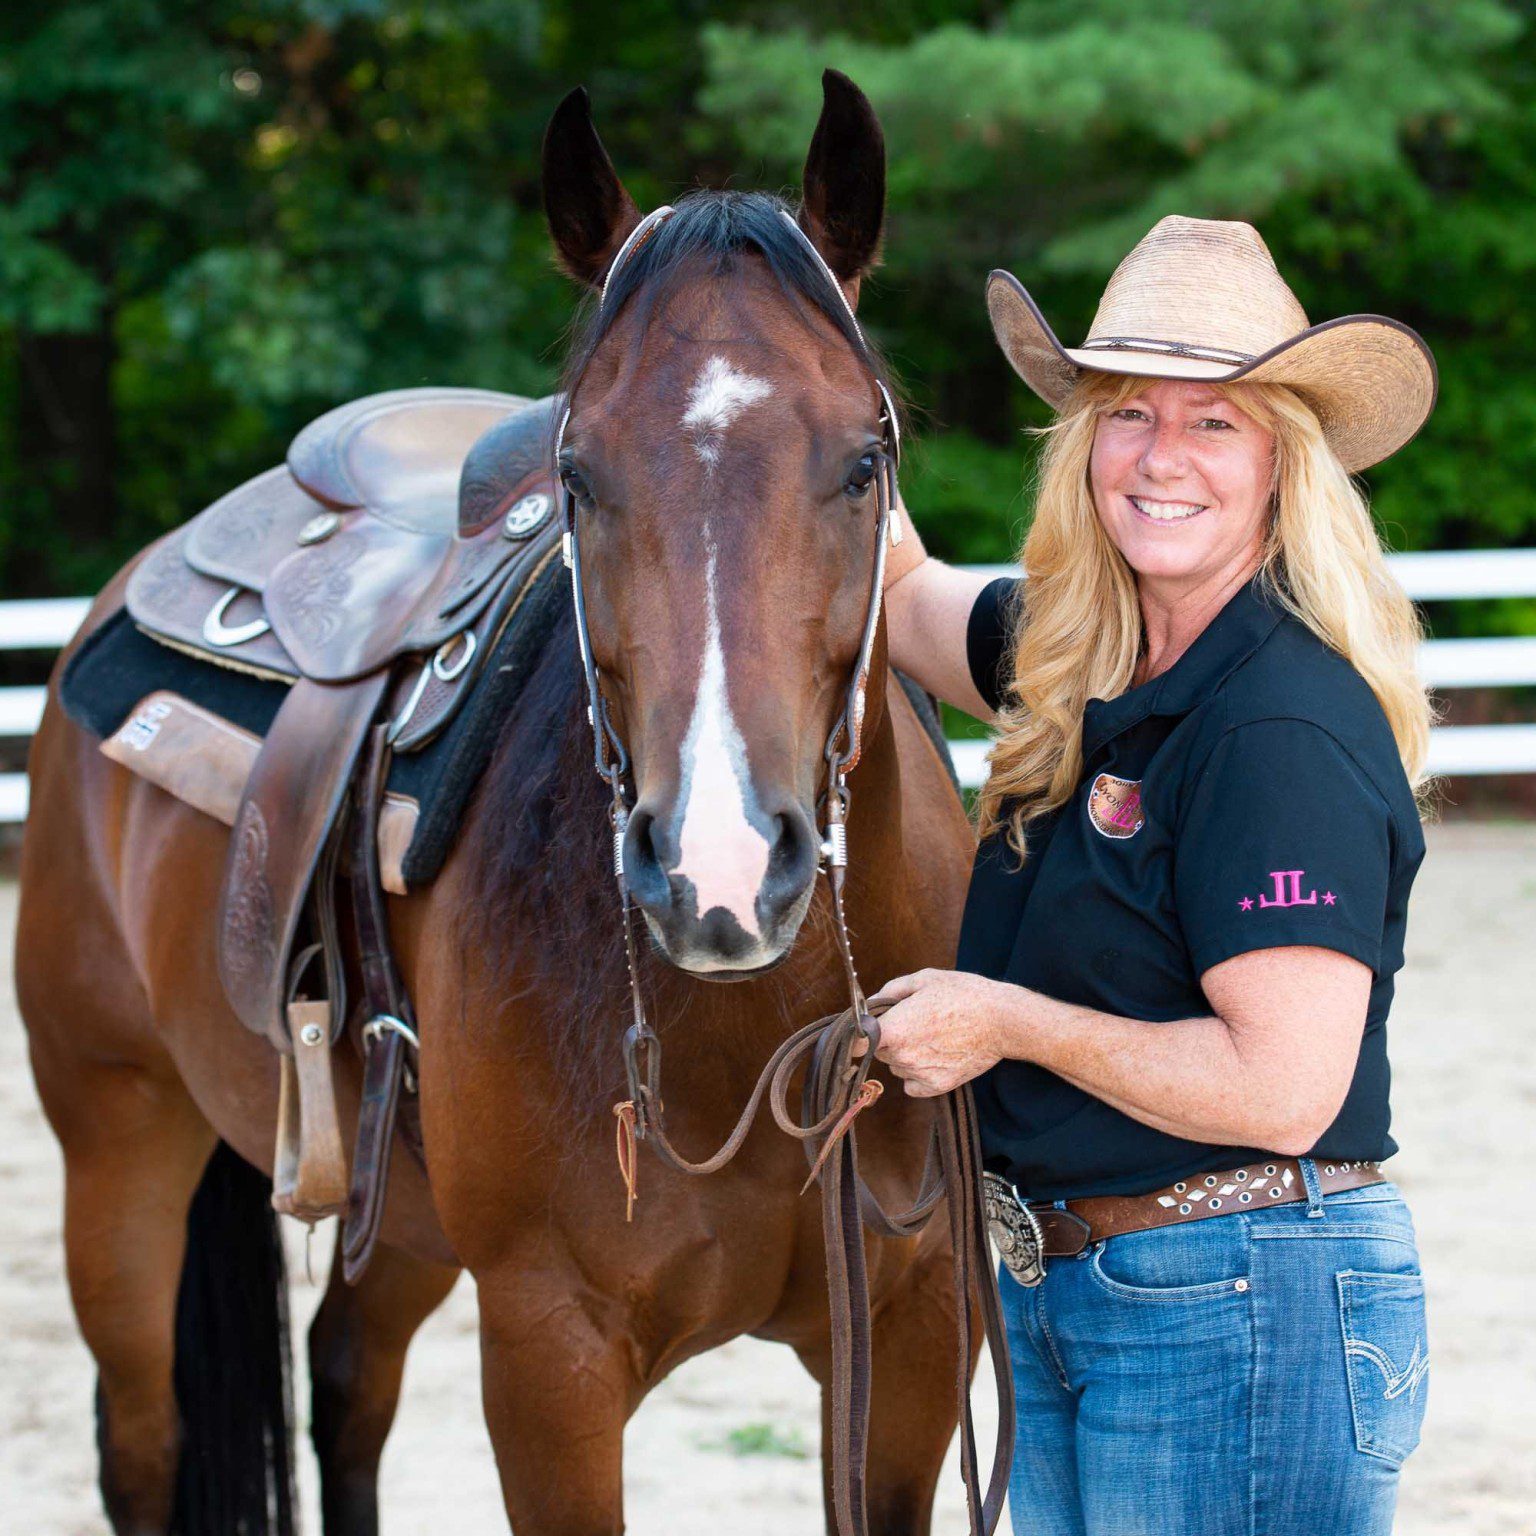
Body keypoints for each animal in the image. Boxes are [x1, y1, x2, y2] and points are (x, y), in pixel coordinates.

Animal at [16, 72, 981, 1535]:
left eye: (866, 458)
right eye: (576, 475)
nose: (718, 872)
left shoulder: (912, 1344)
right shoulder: (549, 1353)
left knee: (345, 1387)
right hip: (117, 1140)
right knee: (142, 1447)